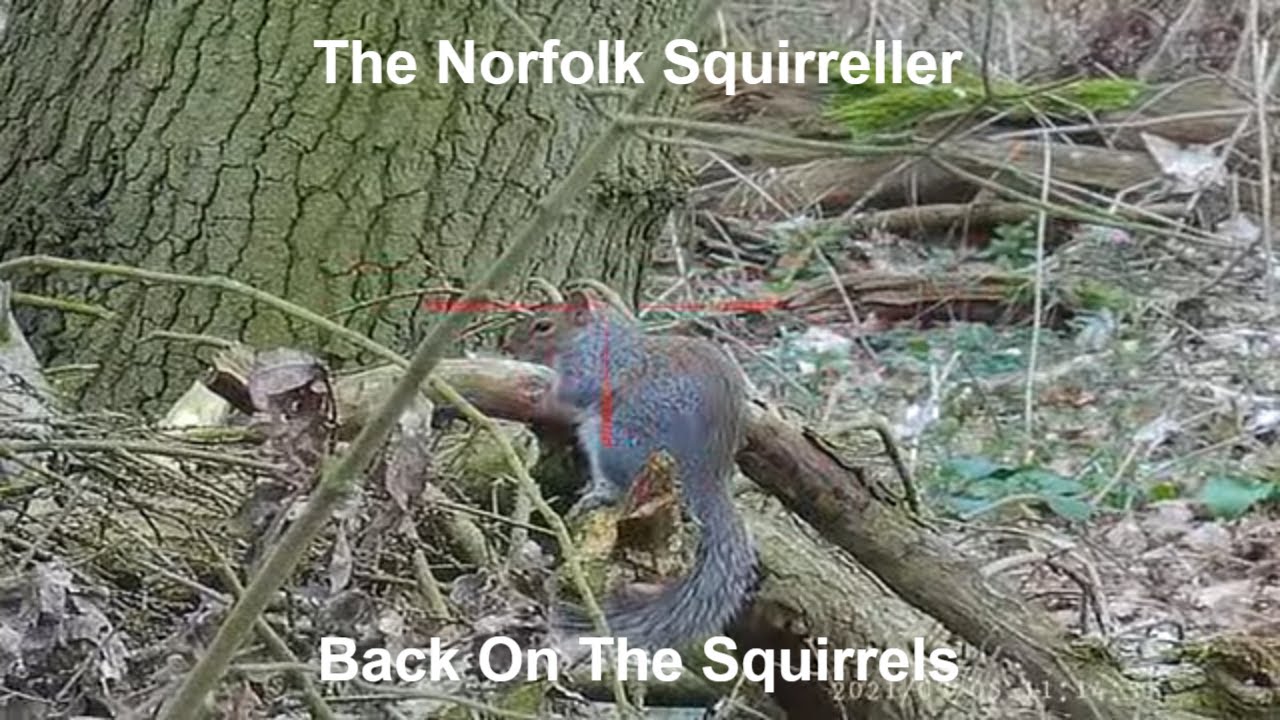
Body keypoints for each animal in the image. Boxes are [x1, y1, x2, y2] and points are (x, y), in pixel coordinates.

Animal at [503, 291, 758, 651]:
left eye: (543, 326)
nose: (508, 345)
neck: (593, 333)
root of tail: (706, 477)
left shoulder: (594, 365)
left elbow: (574, 390)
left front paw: (541, 385)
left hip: (614, 439)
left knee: (622, 489)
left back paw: (597, 496)